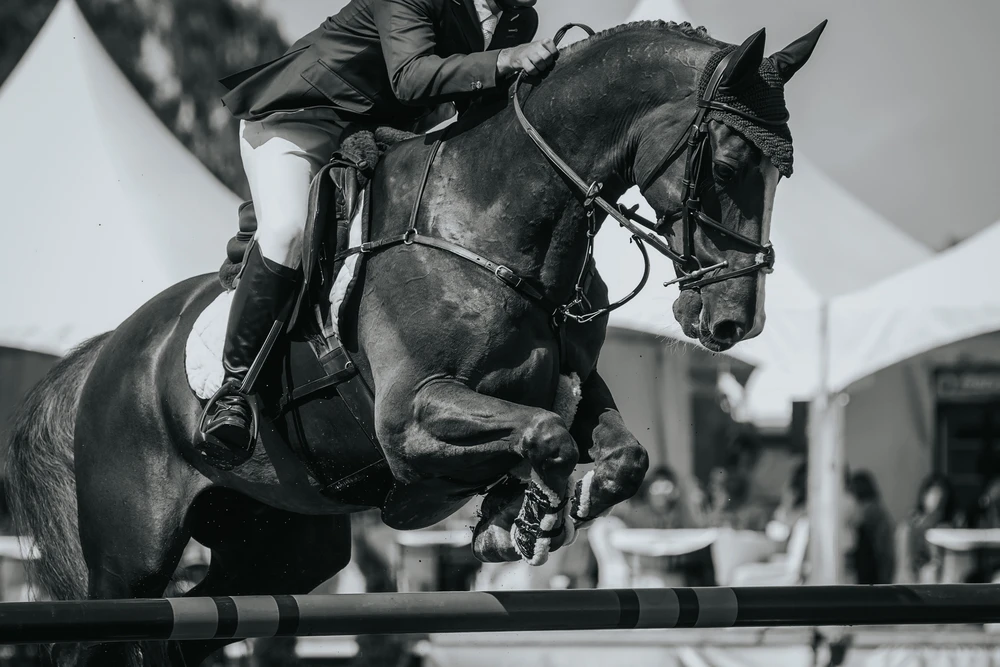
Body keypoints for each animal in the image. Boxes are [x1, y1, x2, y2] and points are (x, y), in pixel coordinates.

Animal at [6, 18, 824, 666]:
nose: (732, 323)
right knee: (106, 628)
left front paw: (526, 513)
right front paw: (517, 518)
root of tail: (106, 354)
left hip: (282, 543)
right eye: (727, 163)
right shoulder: (408, 416)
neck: (501, 219)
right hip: (132, 557)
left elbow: (617, 454)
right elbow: (546, 435)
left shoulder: (573, 385)